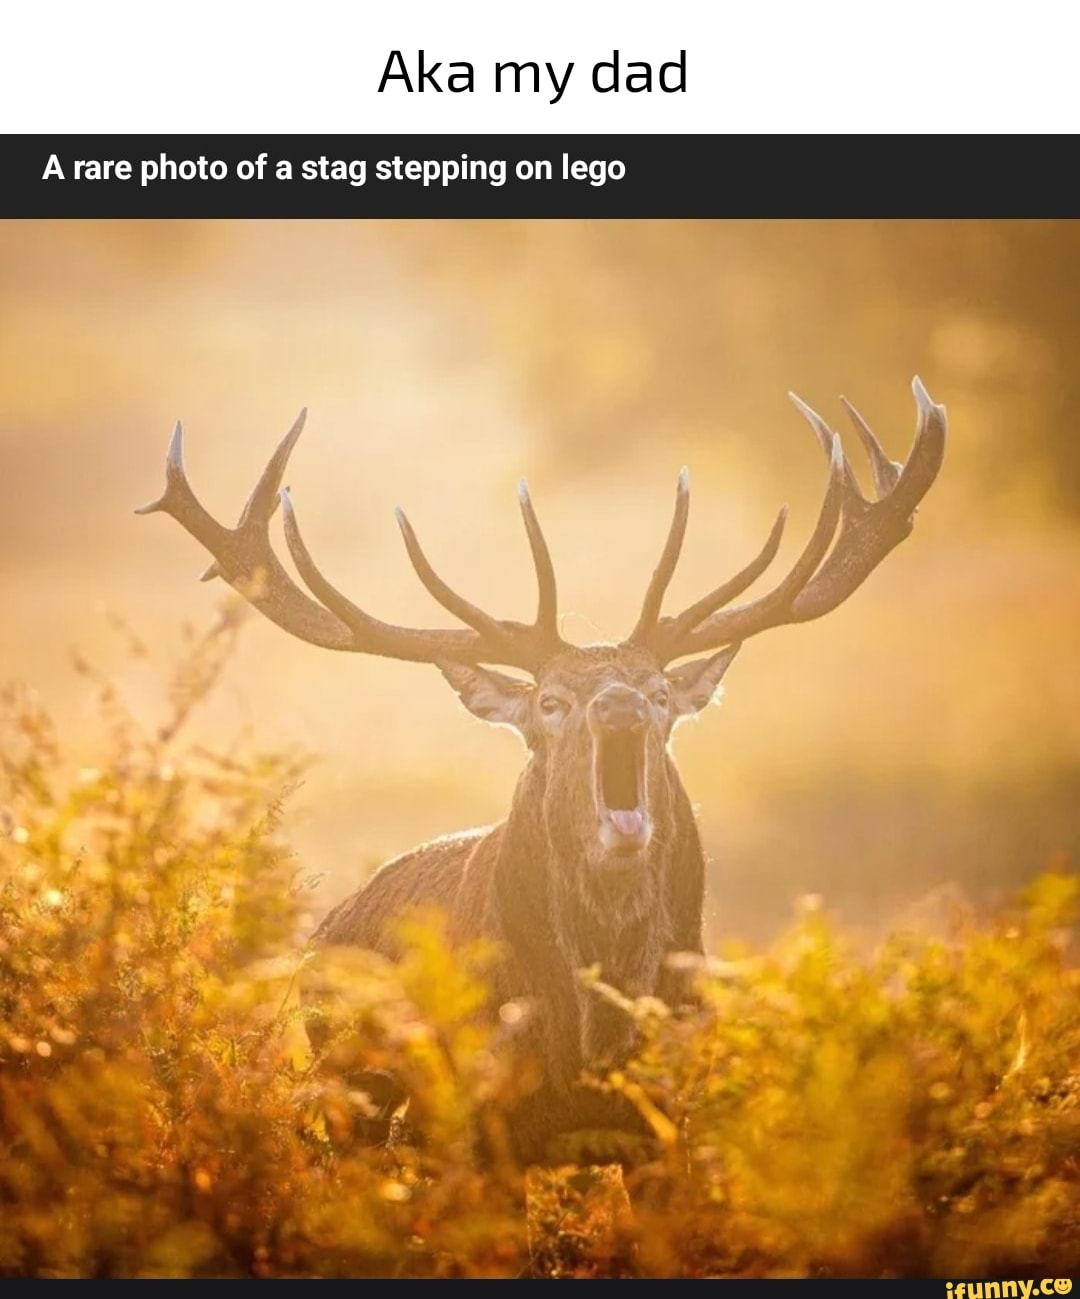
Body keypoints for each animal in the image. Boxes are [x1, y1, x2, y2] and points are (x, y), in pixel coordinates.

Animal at [137, 378, 946, 1164]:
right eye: (552, 701)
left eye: (660, 693)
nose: (620, 705)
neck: (588, 1043)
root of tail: (323, 932)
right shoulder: (481, 1122)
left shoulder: (670, 1116)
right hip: (353, 1091)